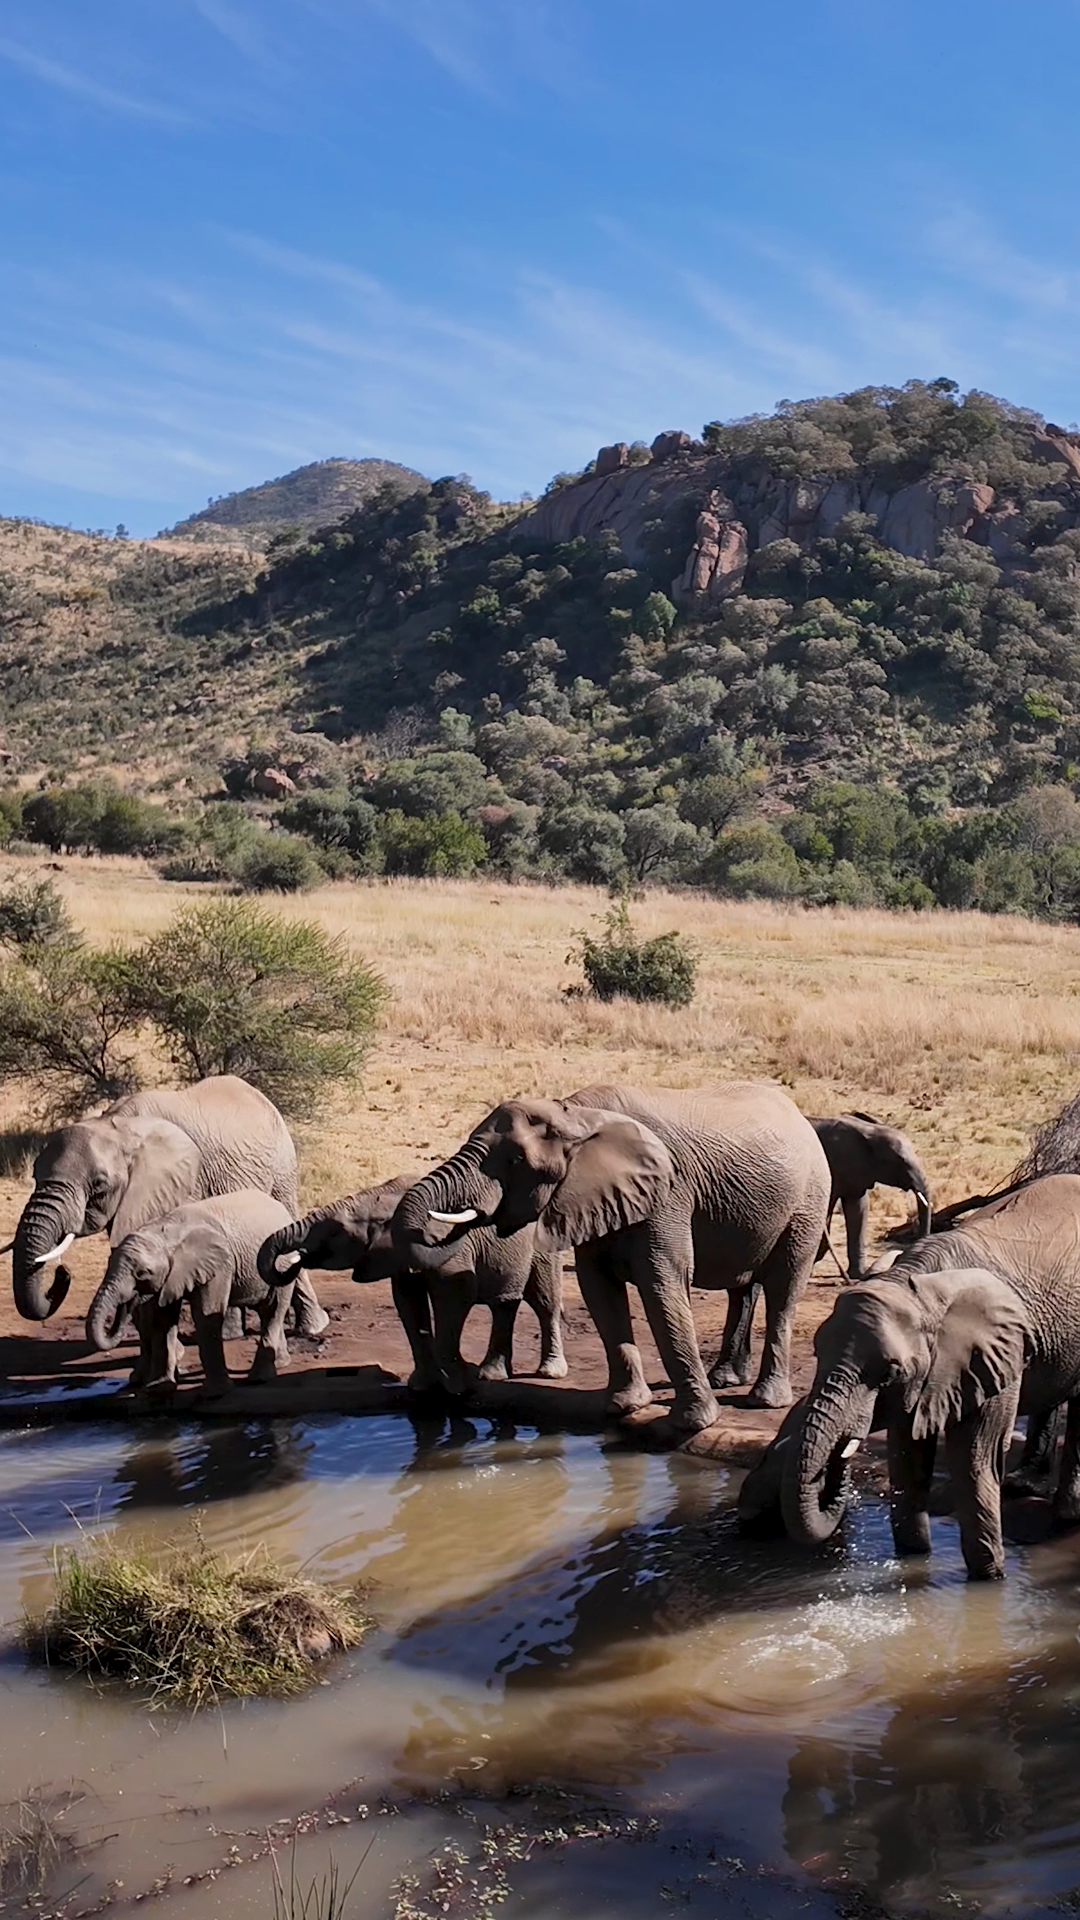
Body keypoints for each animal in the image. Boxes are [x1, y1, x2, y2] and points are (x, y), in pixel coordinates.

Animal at [9, 1074, 328, 1342]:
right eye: (34, 1174)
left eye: (99, 1186)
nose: (62, 1274)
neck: (119, 1126)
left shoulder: (184, 1182)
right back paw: (233, 1333)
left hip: (283, 1167)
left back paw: (311, 1328)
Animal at [85, 1190, 302, 1396]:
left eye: (142, 1273)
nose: (128, 1302)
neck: (164, 1231)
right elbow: (162, 1320)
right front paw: (158, 1389)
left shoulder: (218, 1265)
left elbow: (206, 1317)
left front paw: (213, 1394)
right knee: (265, 1310)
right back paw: (281, 1363)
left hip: (282, 1264)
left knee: (273, 1309)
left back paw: (260, 1378)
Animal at [257, 1174, 565, 1395]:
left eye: (336, 1231)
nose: (297, 1257)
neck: (385, 1195)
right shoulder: (400, 1257)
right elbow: (407, 1301)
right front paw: (422, 1386)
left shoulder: (448, 1248)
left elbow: (454, 1296)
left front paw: (458, 1386)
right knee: (505, 1304)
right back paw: (492, 1374)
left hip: (545, 1243)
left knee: (544, 1302)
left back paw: (548, 1372)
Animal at [391, 1081, 831, 1433]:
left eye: (516, 1160)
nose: (460, 1385)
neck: (575, 1115)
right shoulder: (592, 1197)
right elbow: (598, 1288)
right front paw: (624, 1406)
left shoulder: (668, 1193)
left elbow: (661, 1285)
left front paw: (691, 1424)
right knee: (743, 1287)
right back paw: (726, 1379)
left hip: (808, 1203)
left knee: (783, 1289)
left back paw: (764, 1399)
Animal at [739, 1174, 1080, 1577]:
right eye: (818, 1354)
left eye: (888, 1373)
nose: (836, 1464)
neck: (915, 1283)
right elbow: (907, 1459)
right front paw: (913, 1562)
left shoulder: (997, 1354)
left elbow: (975, 1459)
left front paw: (990, 1579)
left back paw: (1066, 1514)